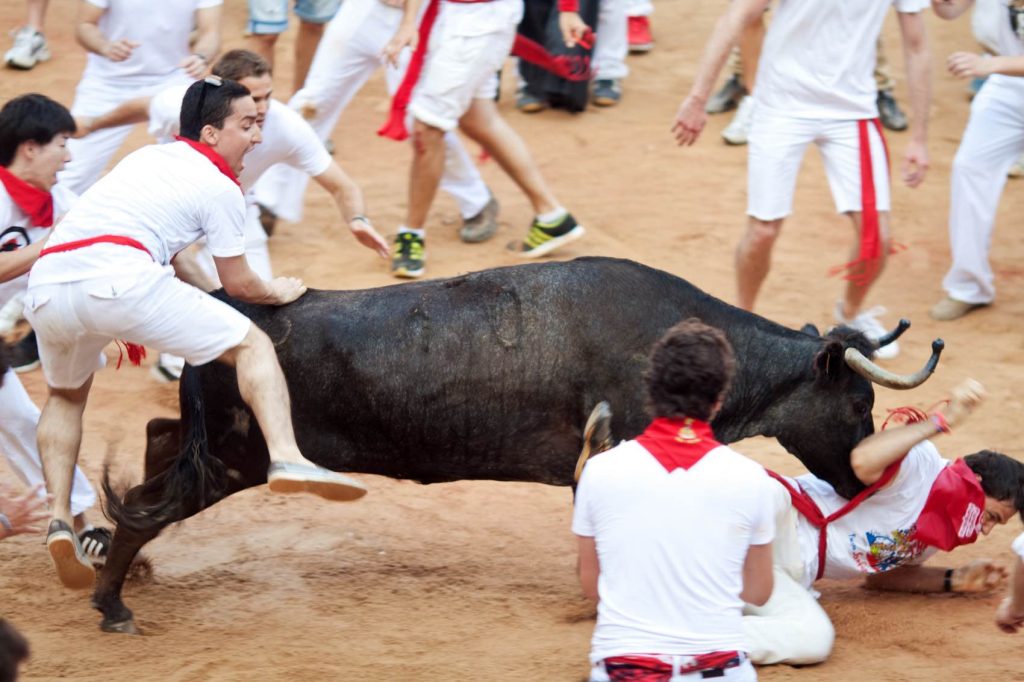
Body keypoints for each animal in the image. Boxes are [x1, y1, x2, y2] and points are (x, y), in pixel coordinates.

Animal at [92, 257, 942, 633]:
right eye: (860, 400)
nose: (860, 483)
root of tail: (225, 315)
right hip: (235, 459)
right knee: (142, 505)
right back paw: (113, 604)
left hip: (212, 451)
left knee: (153, 450)